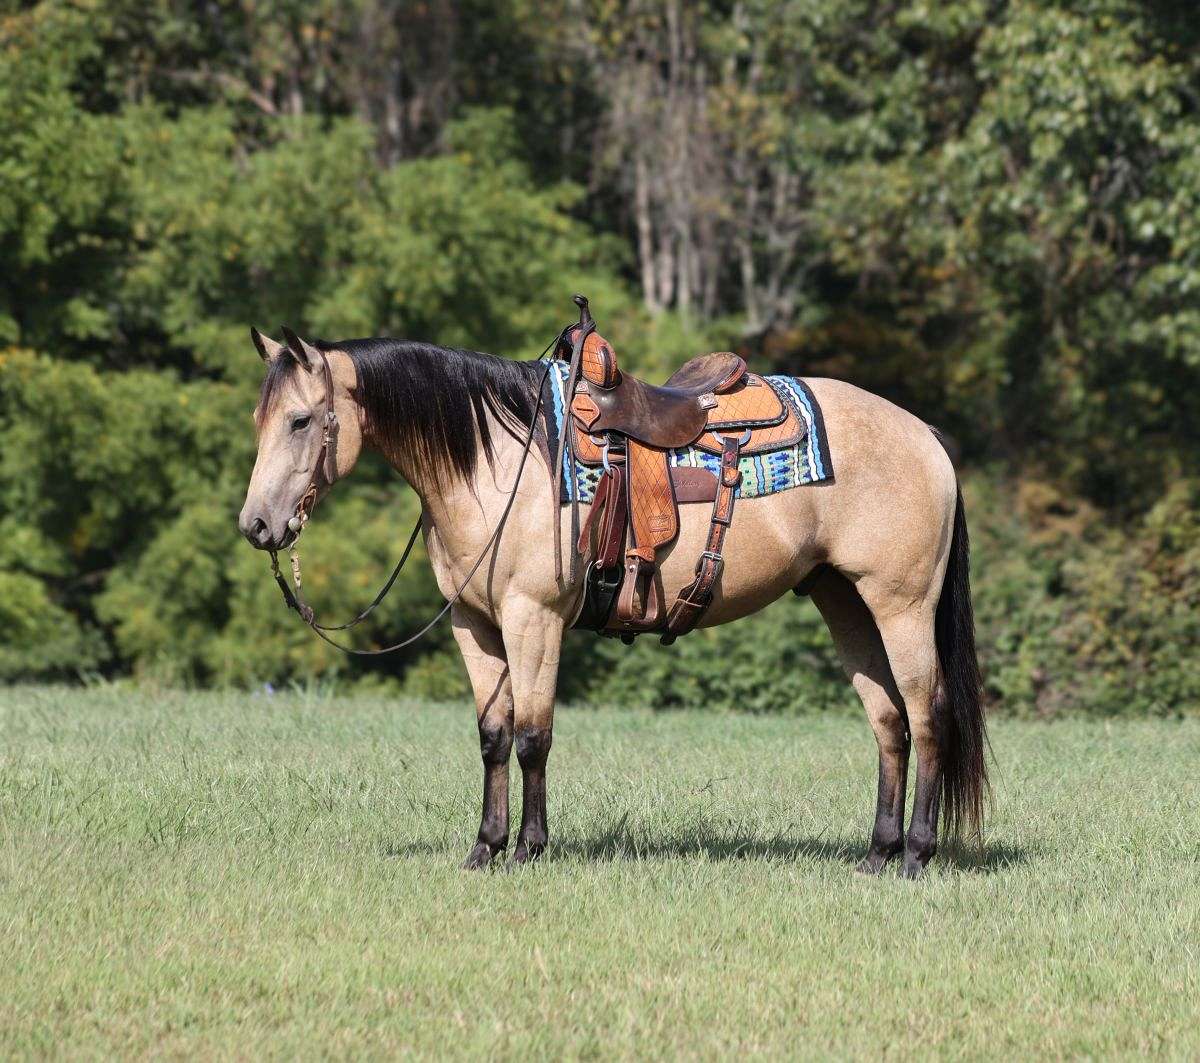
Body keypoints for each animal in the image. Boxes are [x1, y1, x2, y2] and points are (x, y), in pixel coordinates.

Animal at [237, 325, 988, 878]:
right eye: (260, 419)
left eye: (301, 420)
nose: (257, 526)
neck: (499, 462)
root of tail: (927, 437)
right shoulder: (474, 626)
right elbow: (493, 736)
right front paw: (484, 848)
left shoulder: (534, 617)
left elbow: (534, 735)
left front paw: (530, 849)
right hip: (845, 603)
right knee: (888, 723)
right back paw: (877, 855)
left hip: (900, 605)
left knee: (927, 714)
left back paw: (916, 855)